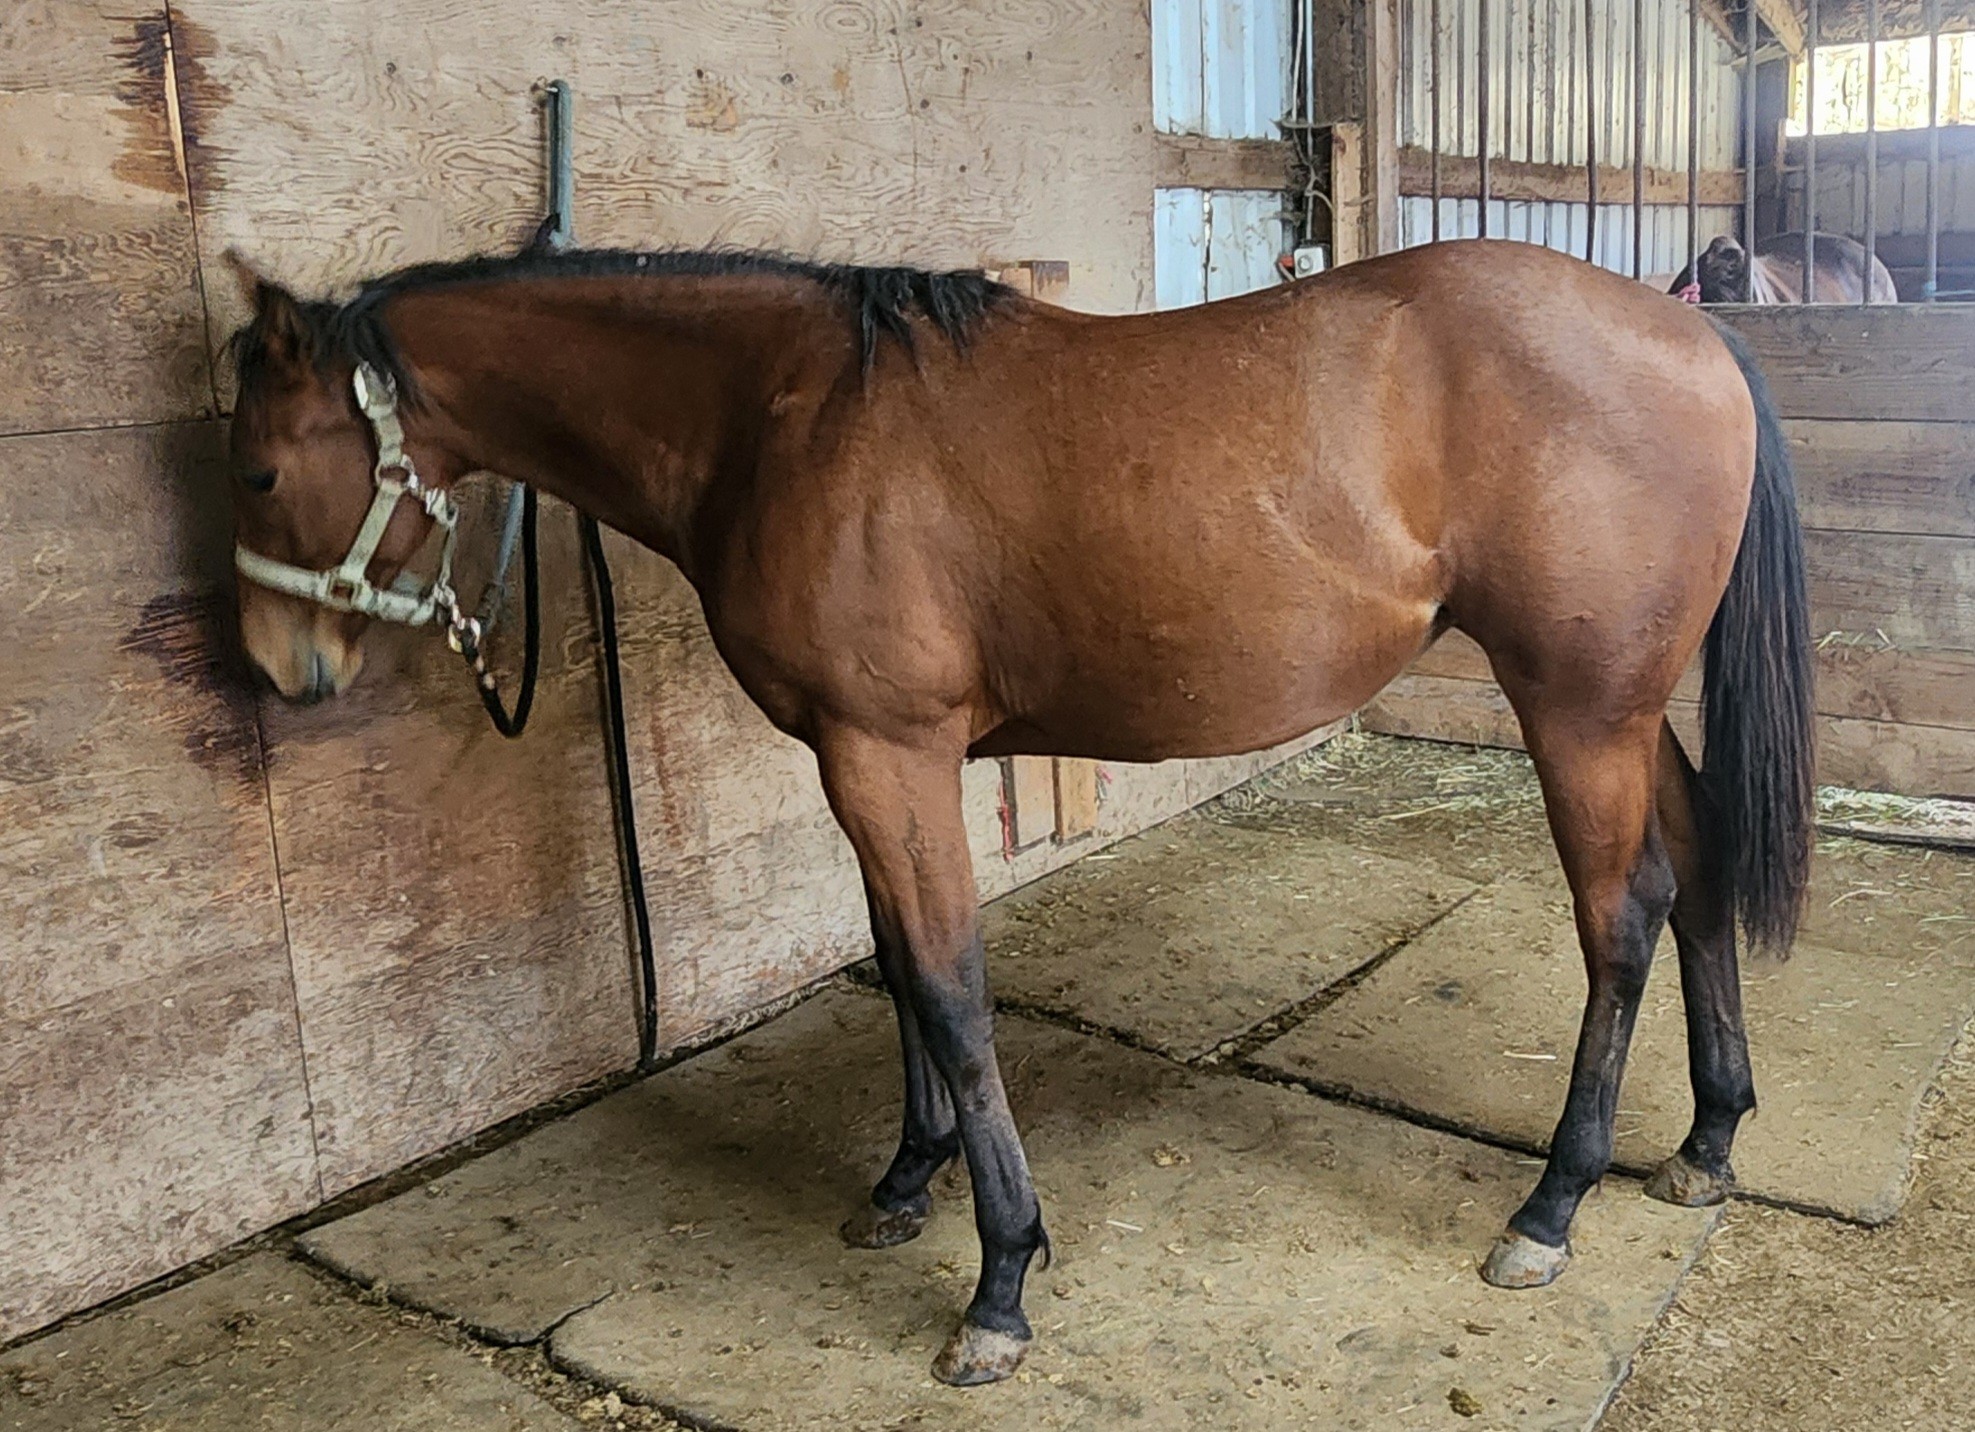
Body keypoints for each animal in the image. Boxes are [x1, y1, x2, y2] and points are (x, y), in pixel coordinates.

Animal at [223, 236, 1814, 1387]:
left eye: (256, 463)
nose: (278, 670)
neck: (780, 418)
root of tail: (1695, 338)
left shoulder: (888, 753)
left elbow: (946, 986)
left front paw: (996, 1281)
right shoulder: (860, 760)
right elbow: (894, 971)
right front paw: (903, 1179)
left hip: (1577, 712)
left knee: (1621, 917)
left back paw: (1550, 1205)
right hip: (1625, 714)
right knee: (1698, 867)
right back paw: (1707, 1141)